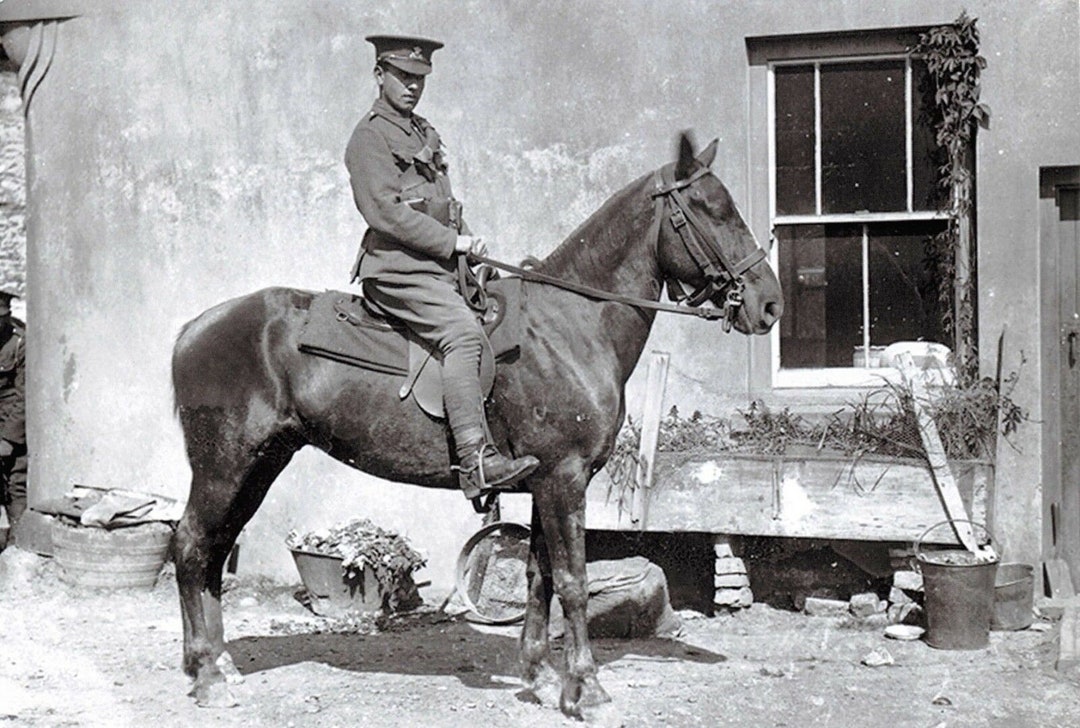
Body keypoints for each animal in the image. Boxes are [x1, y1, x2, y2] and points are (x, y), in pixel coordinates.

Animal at [171, 131, 783, 716]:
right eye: (711, 209)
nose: (770, 304)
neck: (570, 325)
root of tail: (195, 327)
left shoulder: (546, 483)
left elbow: (539, 578)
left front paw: (541, 678)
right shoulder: (564, 479)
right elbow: (573, 582)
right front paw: (586, 689)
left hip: (260, 465)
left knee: (214, 550)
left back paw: (218, 664)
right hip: (224, 467)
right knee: (190, 546)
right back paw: (206, 677)